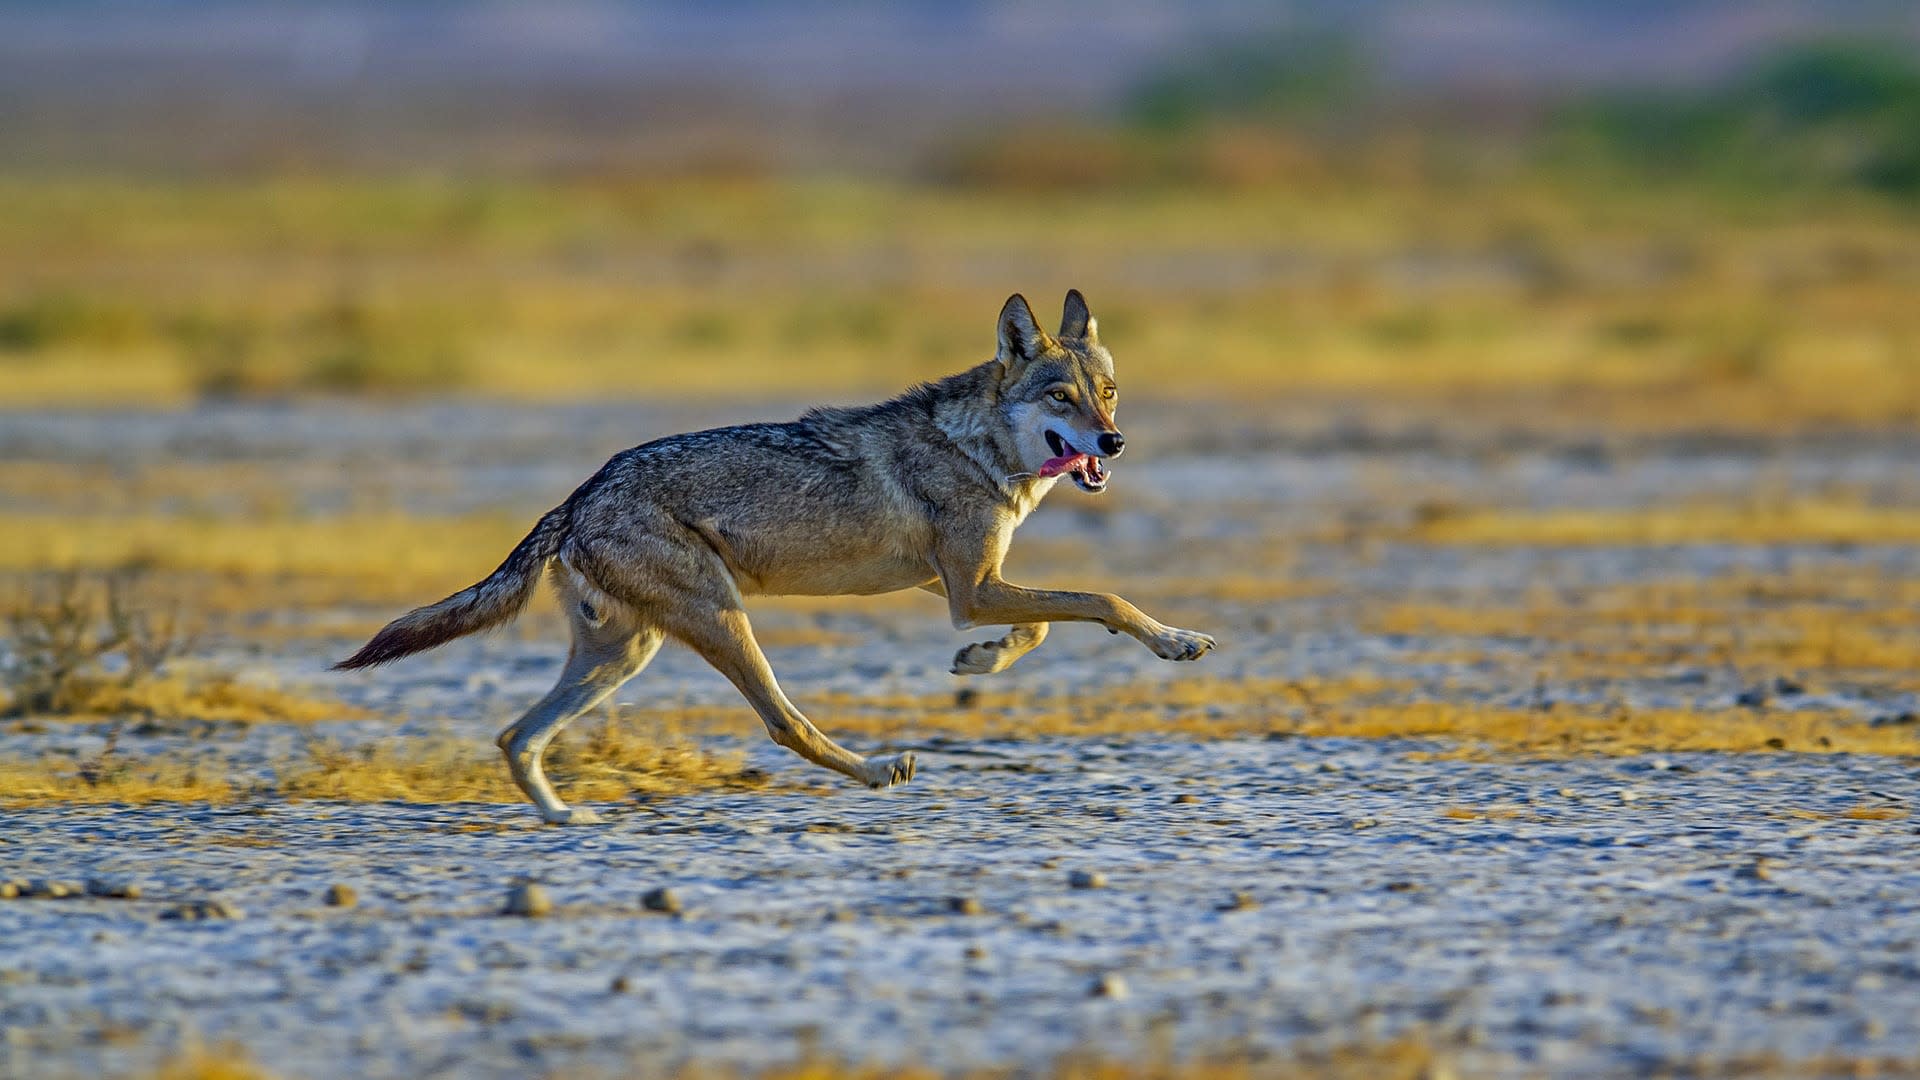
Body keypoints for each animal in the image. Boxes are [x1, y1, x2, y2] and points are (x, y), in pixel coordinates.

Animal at [335, 291, 1216, 823]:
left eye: (1108, 394)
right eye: (1061, 397)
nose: (1115, 442)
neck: (982, 450)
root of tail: (578, 496)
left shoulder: (955, 585)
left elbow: (1044, 625)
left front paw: (981, 661)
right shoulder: (972, 587)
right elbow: (1101, 600)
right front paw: (1175, 641)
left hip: (624, 654)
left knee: (516, 736)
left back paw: (559, 816)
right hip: (721, 622)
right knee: (784, 724)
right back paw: (874, 771)